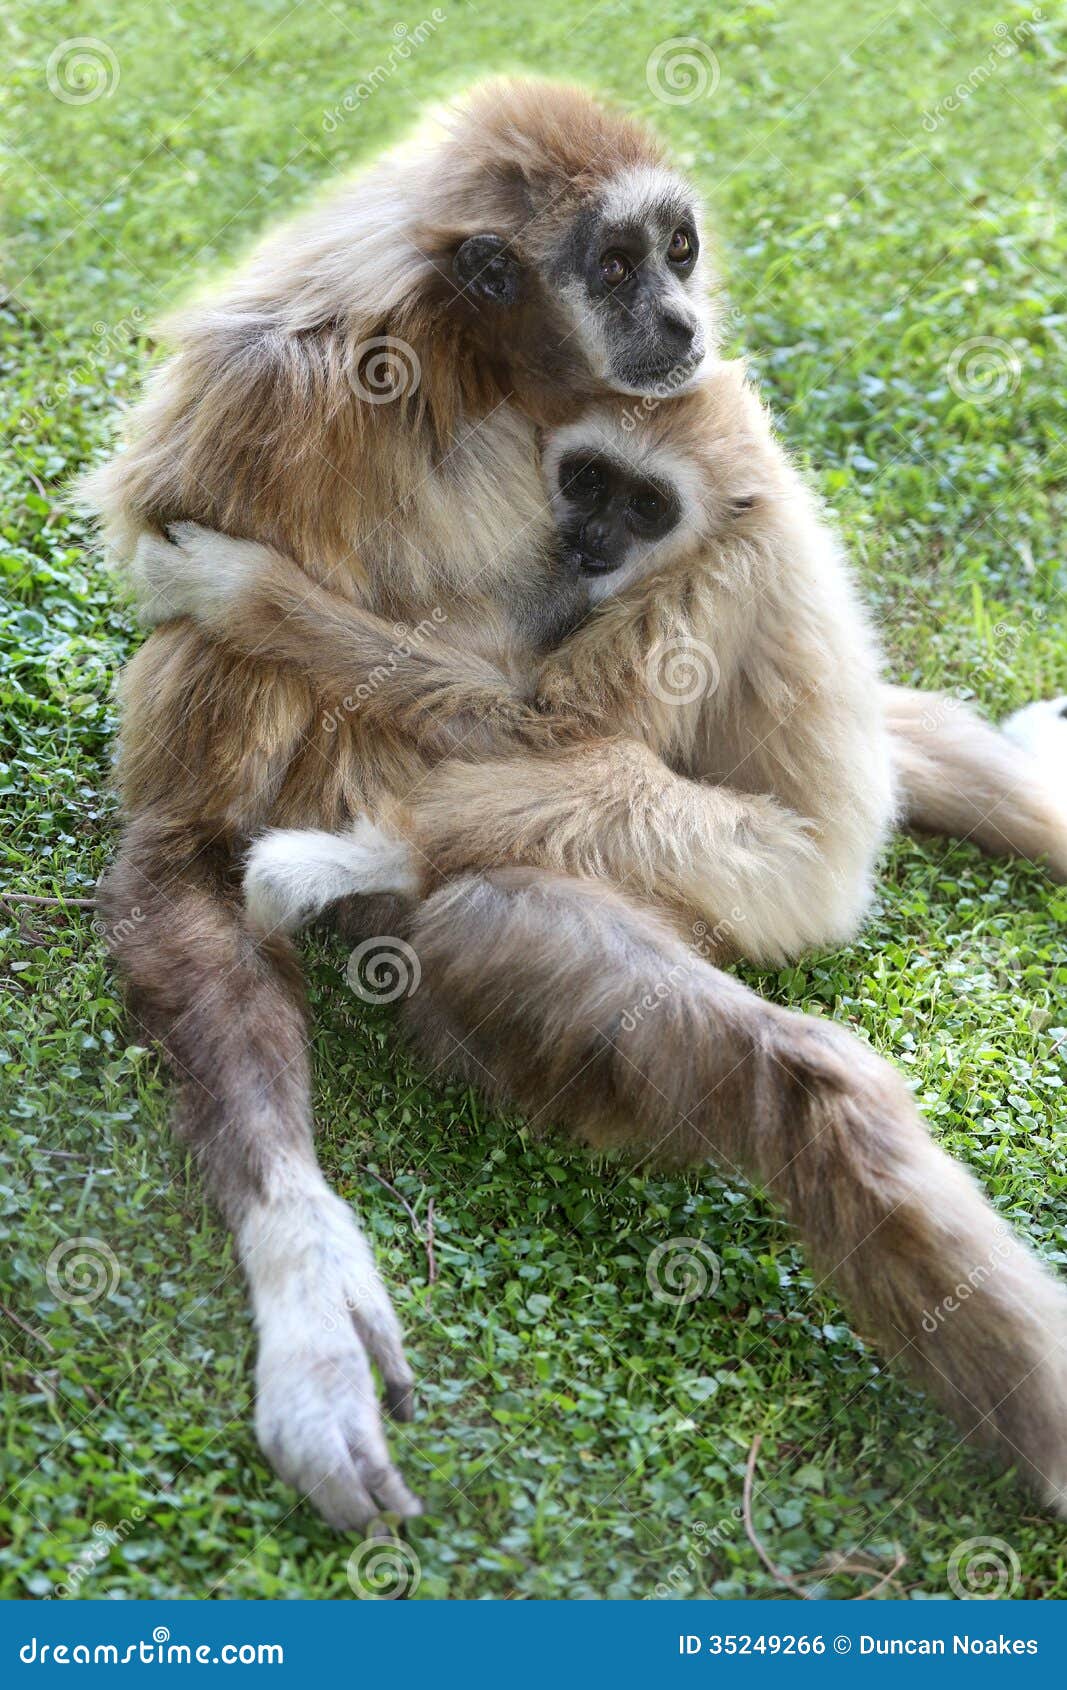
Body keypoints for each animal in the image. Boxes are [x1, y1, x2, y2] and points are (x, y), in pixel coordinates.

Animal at [85, 80, 1067, 1529]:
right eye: (613, 265)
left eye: (677, 248)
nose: (679, 317)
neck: (455, 374)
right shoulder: (241, 434)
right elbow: (188, 852)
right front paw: (306, 1281)